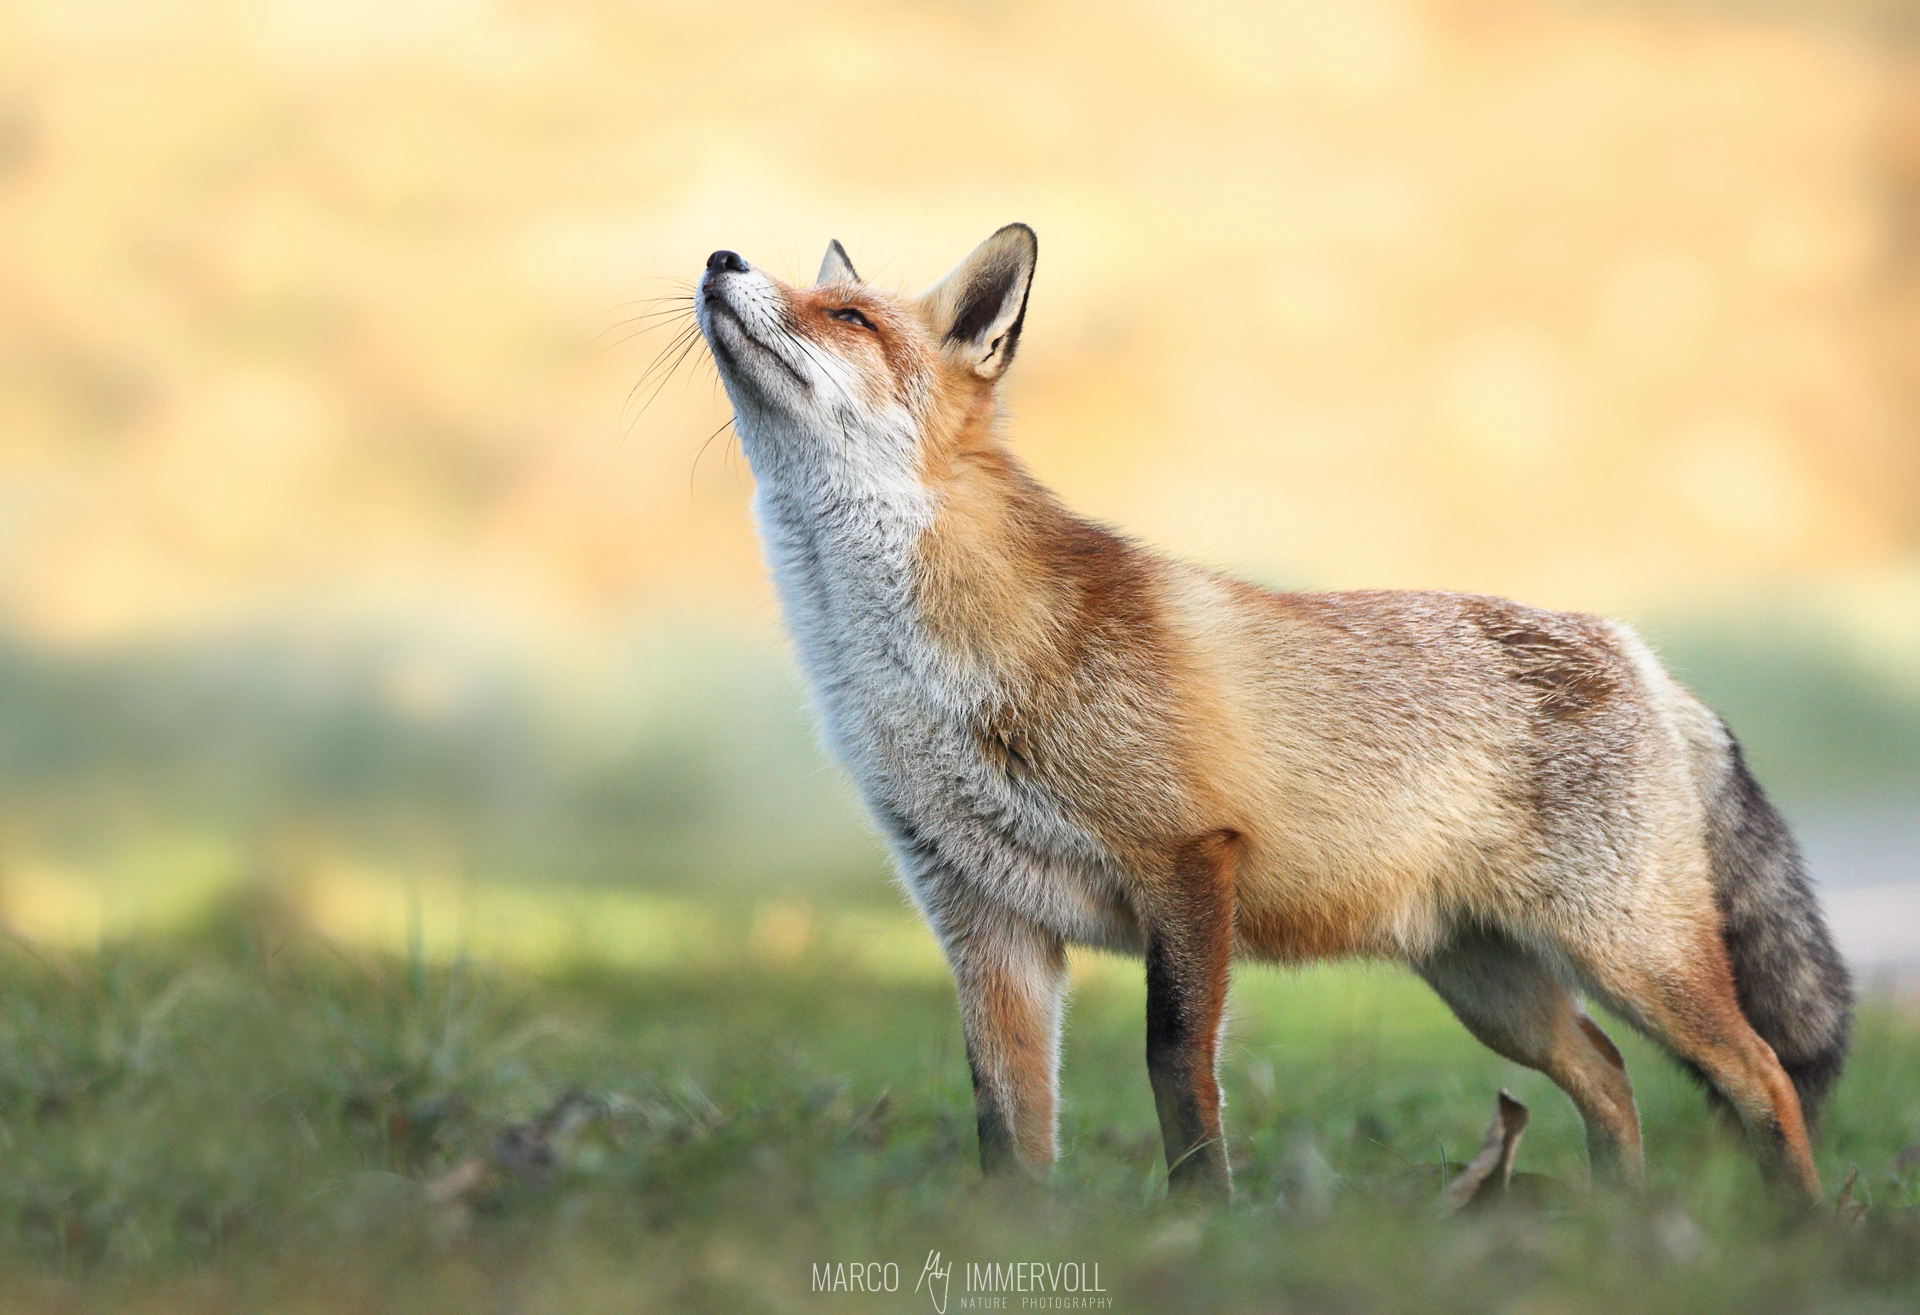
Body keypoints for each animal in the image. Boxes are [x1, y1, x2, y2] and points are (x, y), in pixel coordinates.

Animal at [691, 224, 1853, 1202]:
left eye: (849, 316)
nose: (717, 257)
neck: (911, 674)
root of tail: (1640, 654)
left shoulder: (1186, 861)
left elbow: (1175, 1067)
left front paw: (1204, 1215)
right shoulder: (981, 914)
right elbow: (1006, 1112)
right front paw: (1012, 1234)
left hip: (1632, 957)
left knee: (1761, 1074)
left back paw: (1797, 1228)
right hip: (1488, 983)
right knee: (1608, 1074)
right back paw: (1621, 1220)